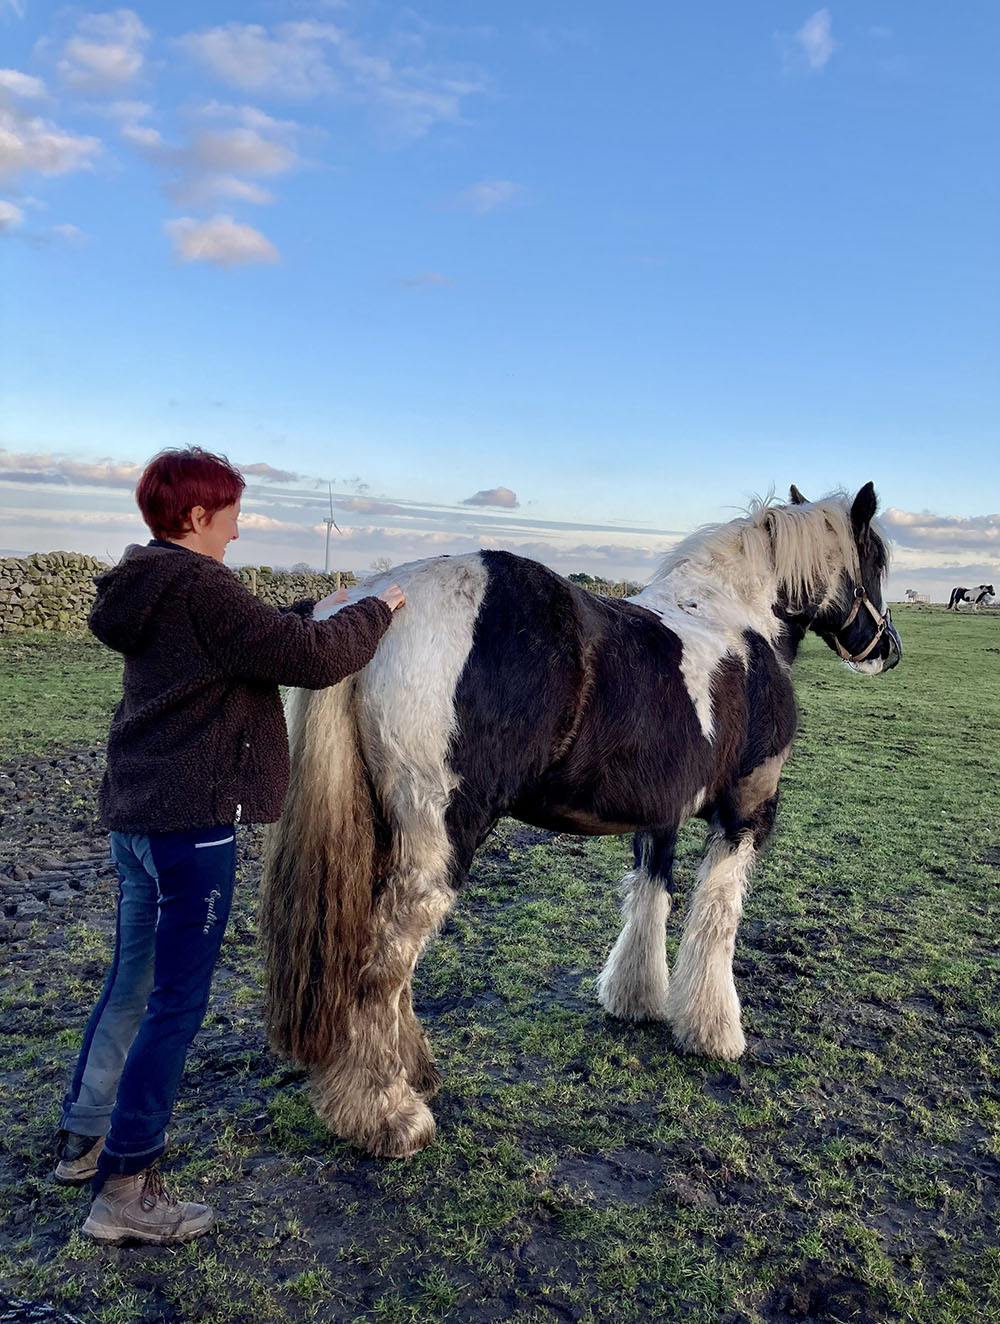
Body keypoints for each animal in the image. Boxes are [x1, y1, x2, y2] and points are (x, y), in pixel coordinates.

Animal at [260, 482, 901, 1159]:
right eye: (874, 562)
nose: (888, 650)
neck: (742, 621)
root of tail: (372, 601)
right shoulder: (746, 810)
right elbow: (718, 915)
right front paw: (713, 1032)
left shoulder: (661, 813)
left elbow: (651, 896)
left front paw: (635, 998)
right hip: (440, 841)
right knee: (383, 960)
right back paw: (387, 1114)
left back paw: (415, 1074)